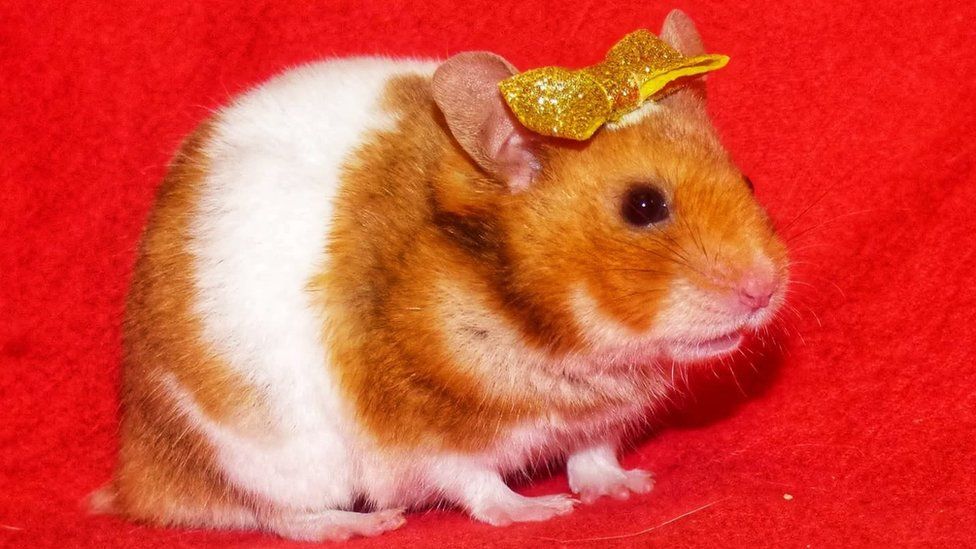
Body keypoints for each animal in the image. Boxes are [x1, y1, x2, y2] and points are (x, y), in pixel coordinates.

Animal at [96, 9, 788, 542]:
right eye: (643, 206)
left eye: (749, 181)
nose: (765, 290)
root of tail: (138, 473)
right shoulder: (425, 435)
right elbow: (476, 482)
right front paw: (541, 510)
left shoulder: (598, 421)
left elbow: (592, 455)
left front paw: (628, 486)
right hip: (259, 451)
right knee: (278, 516)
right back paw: (364, 524)